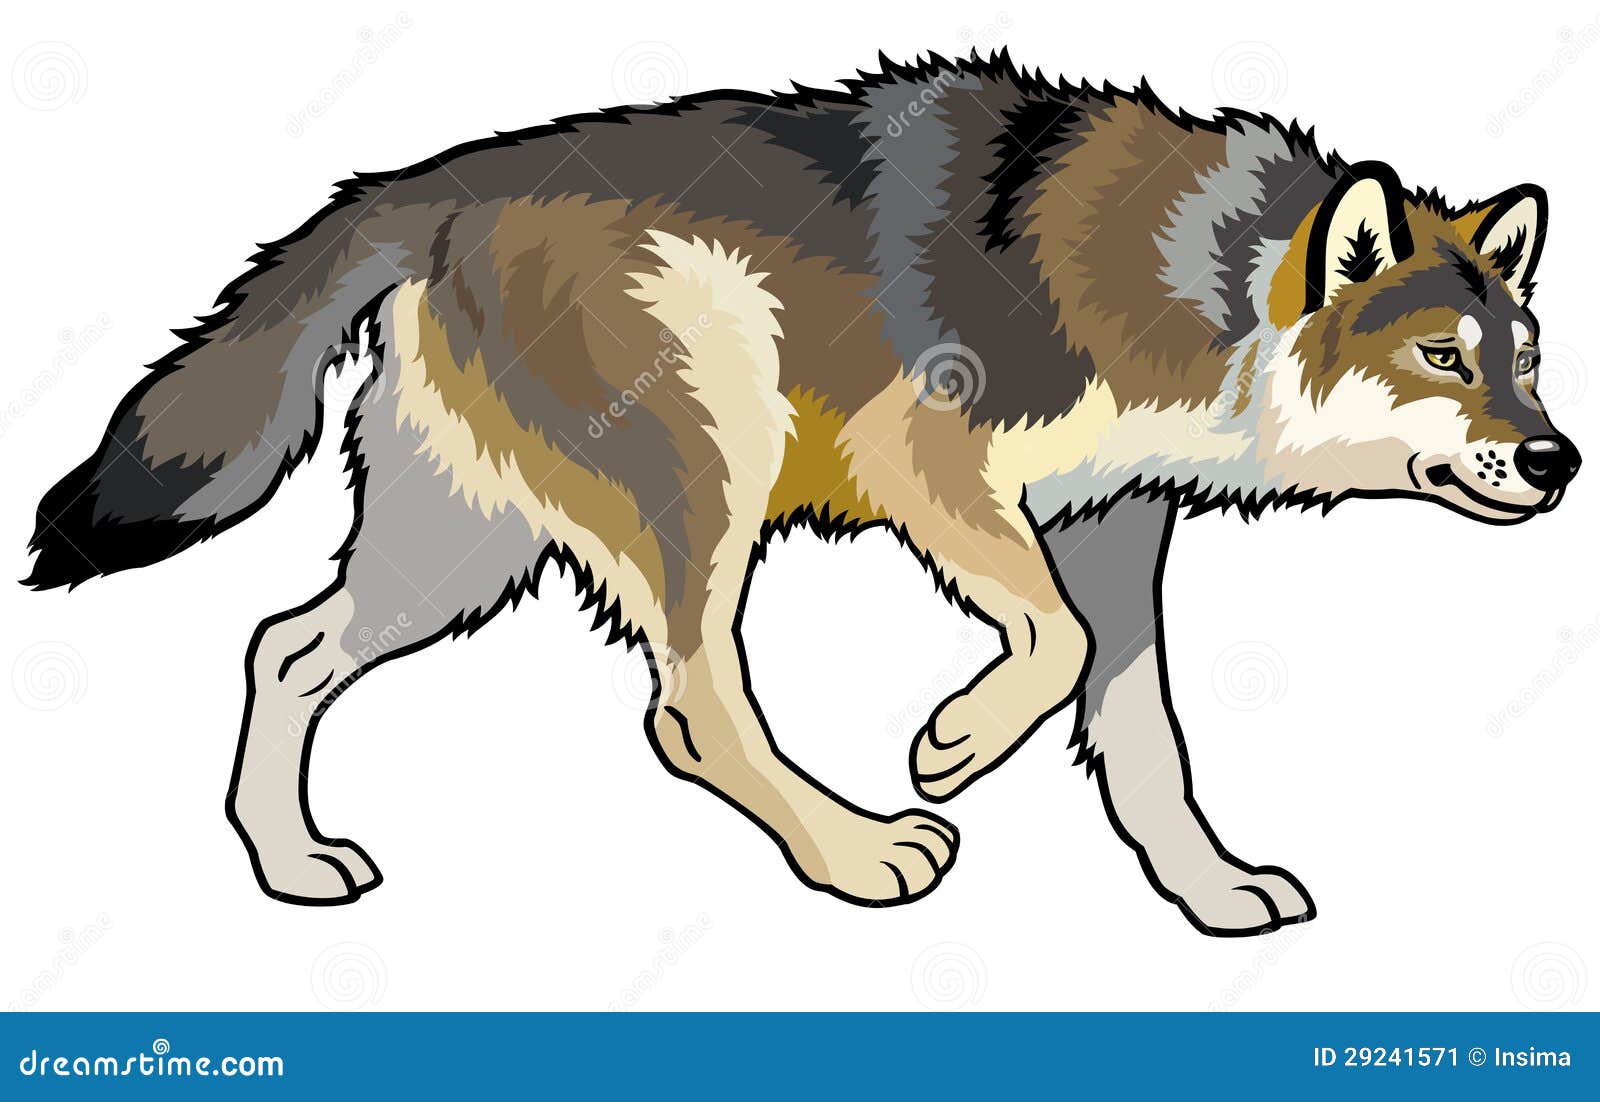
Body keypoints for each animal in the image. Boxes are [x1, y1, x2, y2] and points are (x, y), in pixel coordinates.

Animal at [25, 52, 1578, 934]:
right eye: (1444, 359)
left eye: (1528, 362)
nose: (1562, 461)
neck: (1203, 291)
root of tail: (421, 182)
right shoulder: (928, 462)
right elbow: (1049, 646)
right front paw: (949, 746)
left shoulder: (1112, 526)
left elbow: (1143, 737)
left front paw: (1211, 894)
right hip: (706, 467)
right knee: (687, 707)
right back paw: (855, 852)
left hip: (461, 554)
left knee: (283, 646)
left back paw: (287, 868)